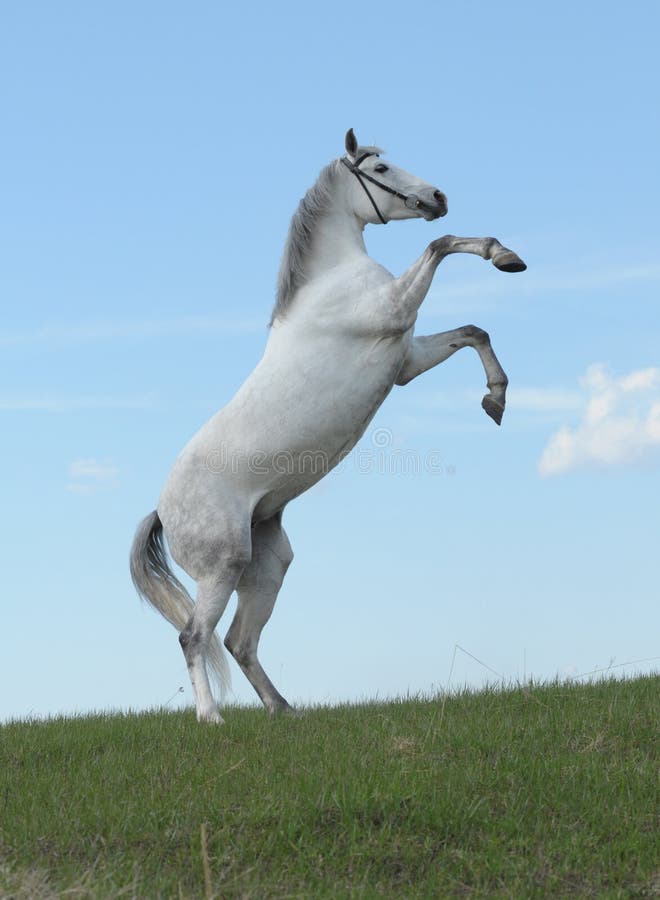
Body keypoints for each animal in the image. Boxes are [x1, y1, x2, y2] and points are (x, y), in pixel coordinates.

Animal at [130, 129, 526, 723]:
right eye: (380, 167)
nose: (437, 197)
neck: (332, 279)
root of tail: (164, 509)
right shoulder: (394, 310)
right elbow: (441, 247)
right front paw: (502, 256)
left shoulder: (406, 359)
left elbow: (473, 332)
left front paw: (495, 399)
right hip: (222, 567)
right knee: (195, 636)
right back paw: (212, 717)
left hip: (268, 566)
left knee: (240, 641)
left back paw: (283, 710)